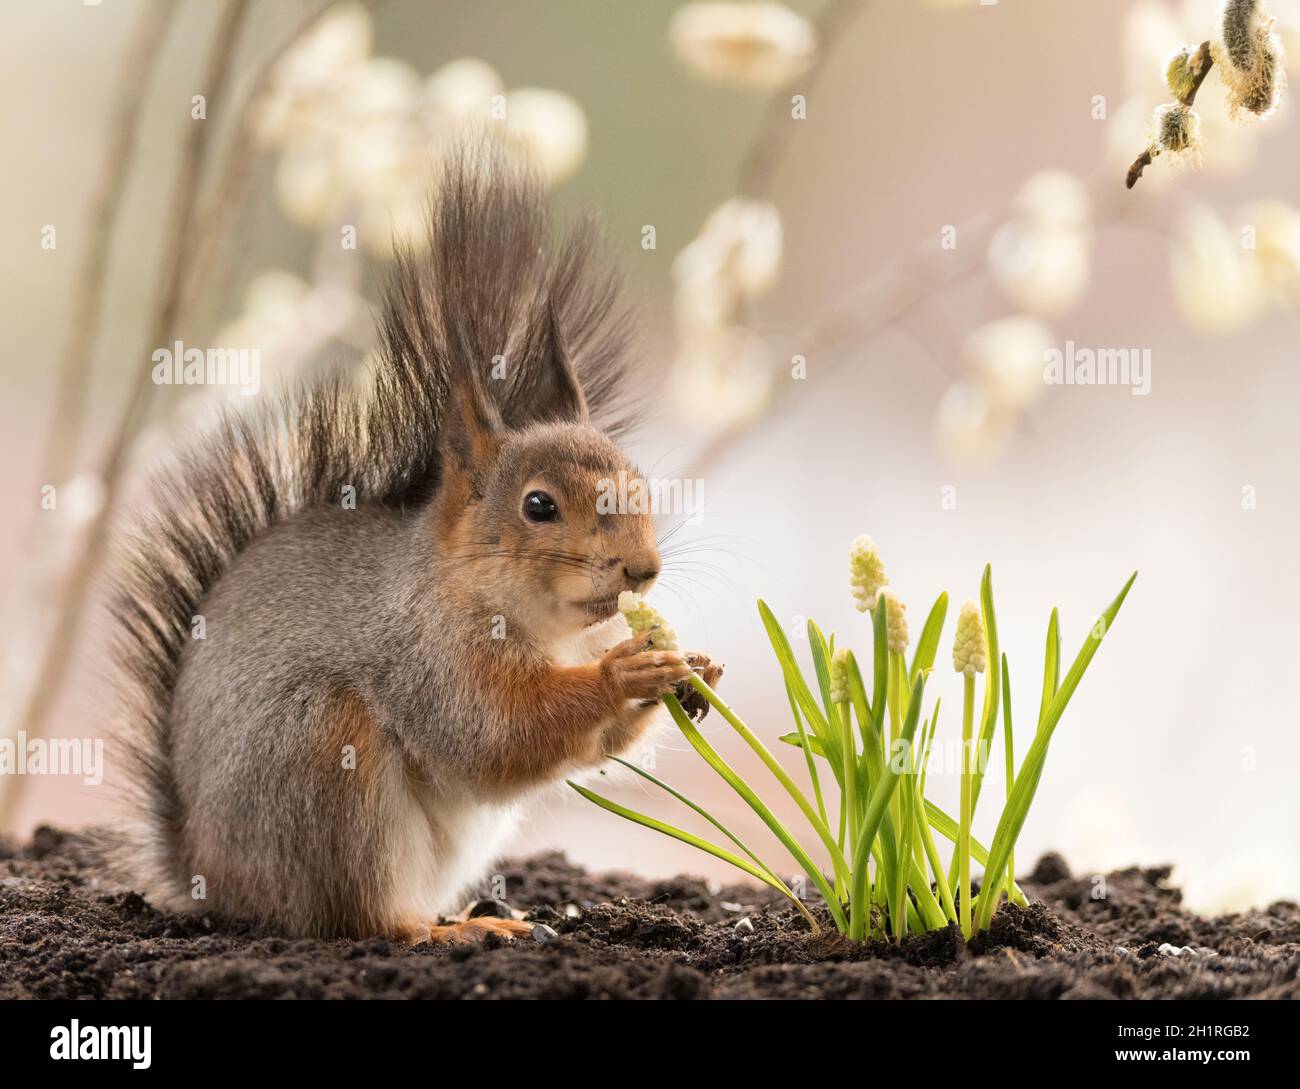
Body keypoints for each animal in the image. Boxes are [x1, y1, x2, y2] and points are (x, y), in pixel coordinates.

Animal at [110, 143, 722, 944]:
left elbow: (590, 744)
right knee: (369, 918)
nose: (643, 570)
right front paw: (626, 670)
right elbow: (494, 733)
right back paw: (449, 930)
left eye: (640, 485)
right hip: (325, 759)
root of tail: (217, 878)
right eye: (538, 505)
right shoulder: (425, 653)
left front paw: (694, 668)